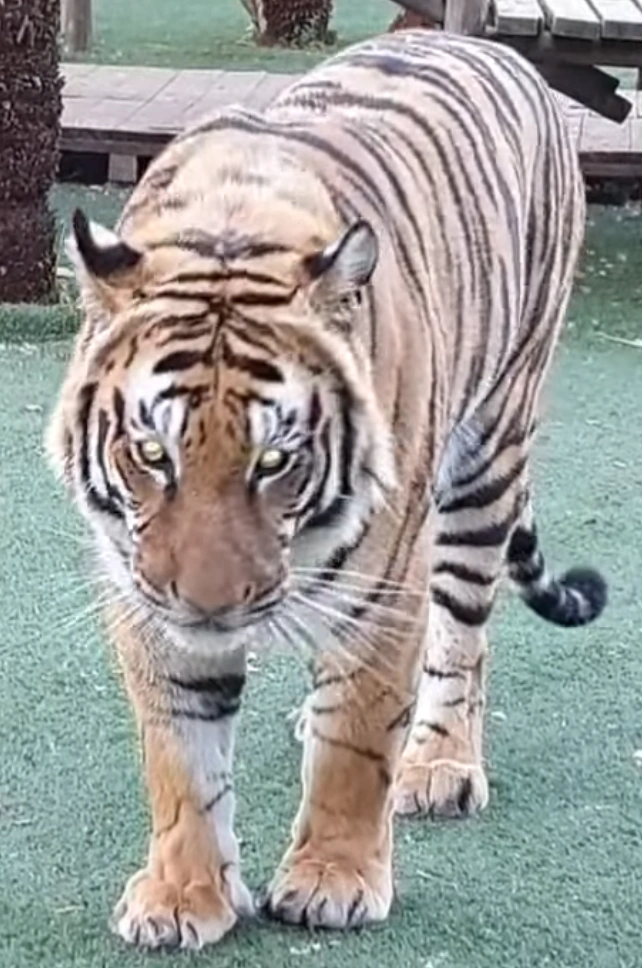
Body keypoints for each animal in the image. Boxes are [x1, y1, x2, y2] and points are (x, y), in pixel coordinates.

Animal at [47, 28, 607, 951]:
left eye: (276, 461)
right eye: (152, 454)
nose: (210, 607)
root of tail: (482, 41)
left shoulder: (383, 584)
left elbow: (356, 743)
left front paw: (333, 880)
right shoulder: (142, 593)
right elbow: (180, 753)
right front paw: (182, 894)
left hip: (487, 458)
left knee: (462, 636)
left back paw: (440, 761)